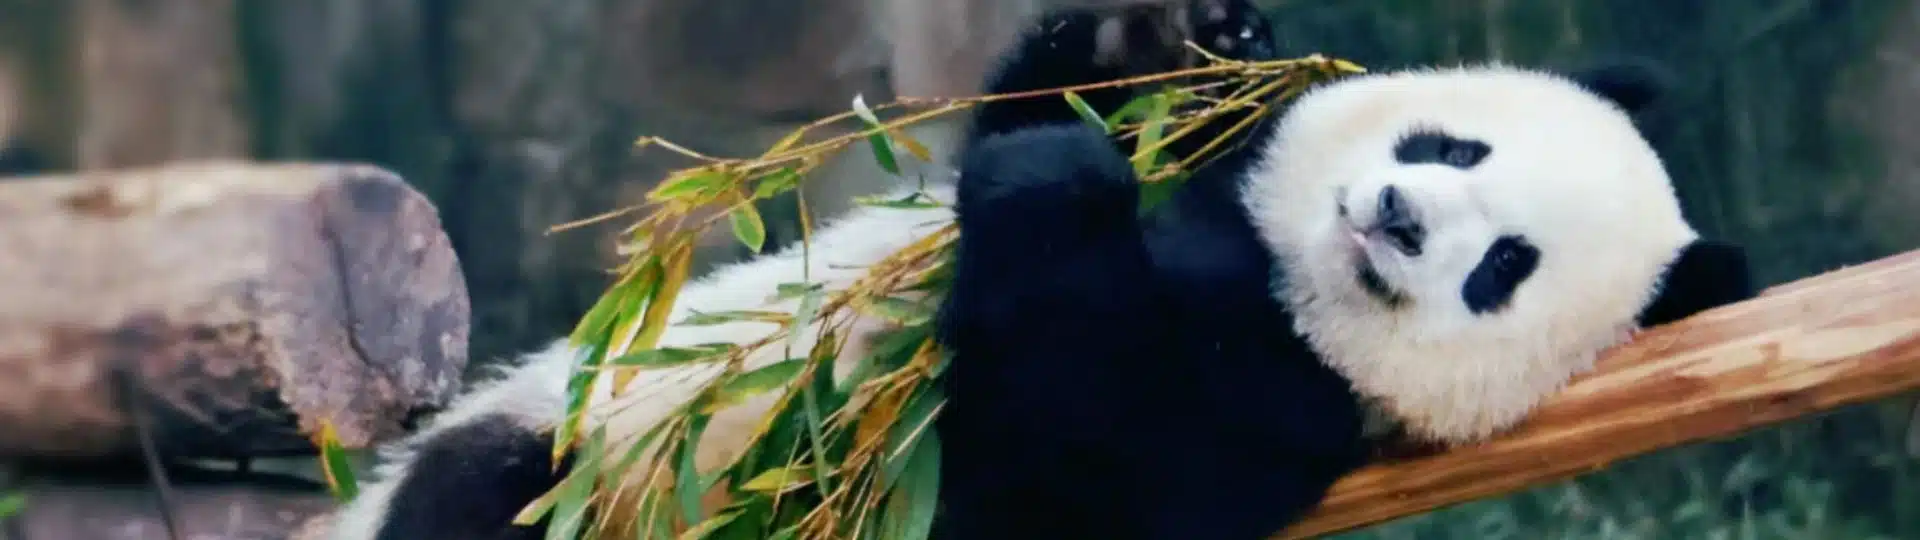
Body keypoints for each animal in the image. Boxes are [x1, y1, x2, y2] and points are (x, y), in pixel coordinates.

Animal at [319, 1, 1757, 539]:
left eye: (1505, 266)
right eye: (1451, 143)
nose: (1397, 217)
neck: (1271, 267)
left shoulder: (1267, 422)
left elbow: (1063, 436)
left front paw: (1063, 198)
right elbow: (1038, 106)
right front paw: (1184, 43)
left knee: (481, 504)